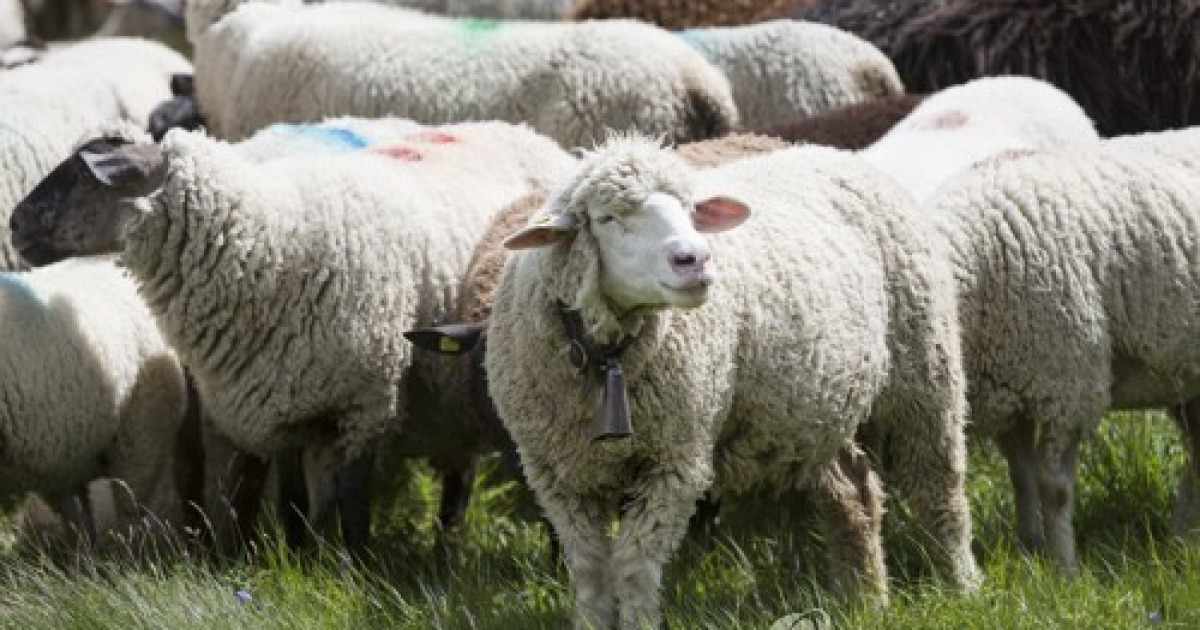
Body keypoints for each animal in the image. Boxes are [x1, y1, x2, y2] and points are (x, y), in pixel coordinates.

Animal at [482, 136, 977, 627]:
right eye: (606, 218)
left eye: (688, 210)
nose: (696, 259)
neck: (608, 363)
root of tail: (837, 153)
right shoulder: (556, 475)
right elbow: (590, 571)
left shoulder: (676, 461)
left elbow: (634, 566)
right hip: (813, 409)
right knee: (854, 491)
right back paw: (865, 597)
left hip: (926, 368)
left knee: (939, 486)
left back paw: (960, 584)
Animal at [923, 127, 1200, 573]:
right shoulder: (1007, 390)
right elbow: (1021, 477)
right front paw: (1029, 547)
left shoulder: (1067, 388)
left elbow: (1054, 488)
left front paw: (1065, 569)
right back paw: (1181, 541)